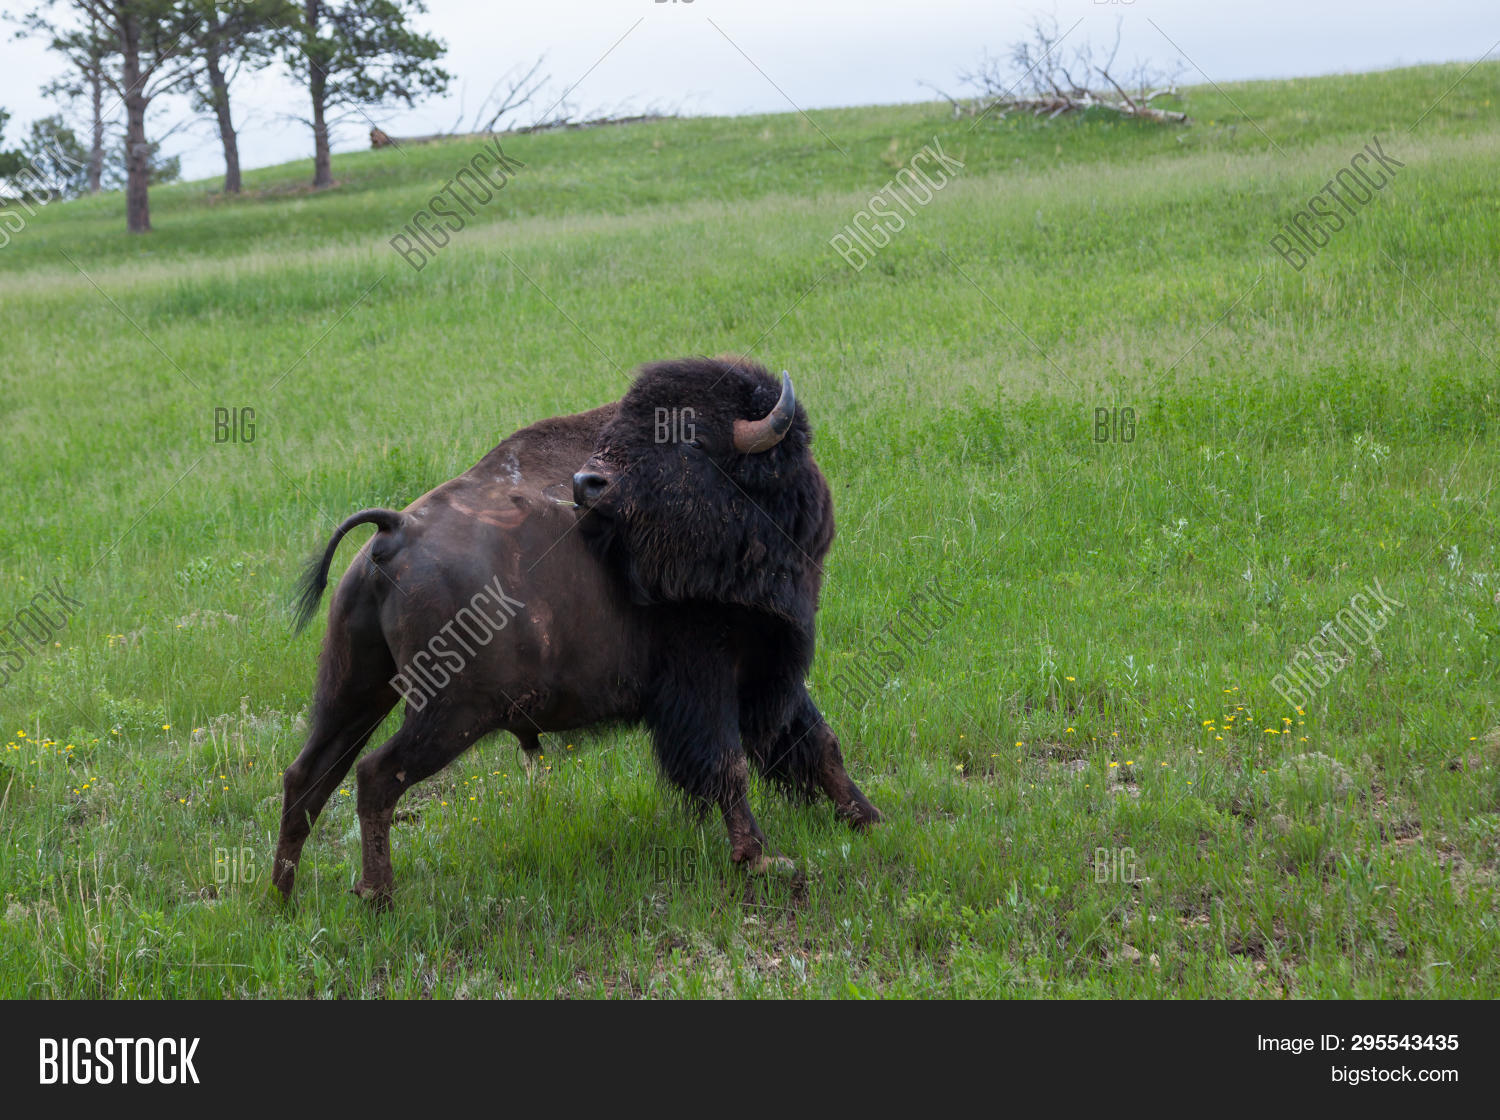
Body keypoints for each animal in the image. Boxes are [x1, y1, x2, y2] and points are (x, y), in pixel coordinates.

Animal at [273, 356, 880, 903]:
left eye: (692, 442)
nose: (588, 482)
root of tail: (396, 531)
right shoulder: (708, 681)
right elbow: (728, 765)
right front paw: (759, 857)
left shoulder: (766, 675)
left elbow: (820, 743)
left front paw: (869, 818)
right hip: (450, 713)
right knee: (376, 776)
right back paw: (377, 895)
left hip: (356, 690)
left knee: (307, 777)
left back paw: (283, 896)